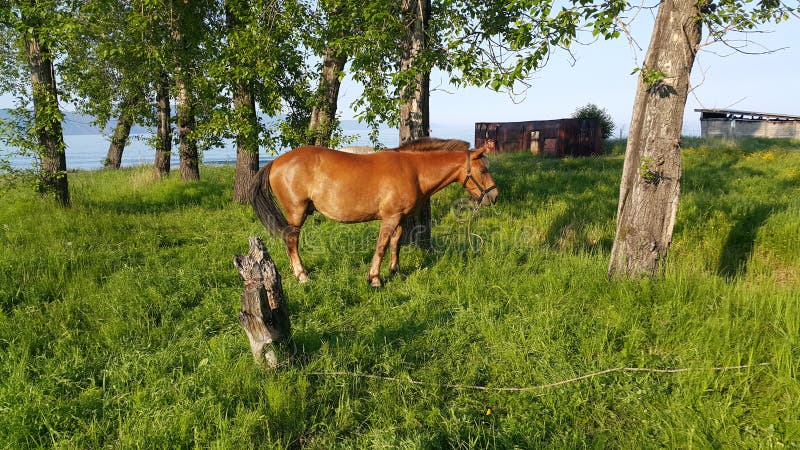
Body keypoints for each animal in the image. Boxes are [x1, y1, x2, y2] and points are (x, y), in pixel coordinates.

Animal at [250, 137, 498, 288]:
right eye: (483, 170)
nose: (494, 196)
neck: (414, 170)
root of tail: (275, 162)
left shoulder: (400, 218)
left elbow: (396, 244)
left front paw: (395, 271)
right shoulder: (390, 217)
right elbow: (381, 246)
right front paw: (375, 278)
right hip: (296, 212)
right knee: (292, 241)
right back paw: (302, 275)